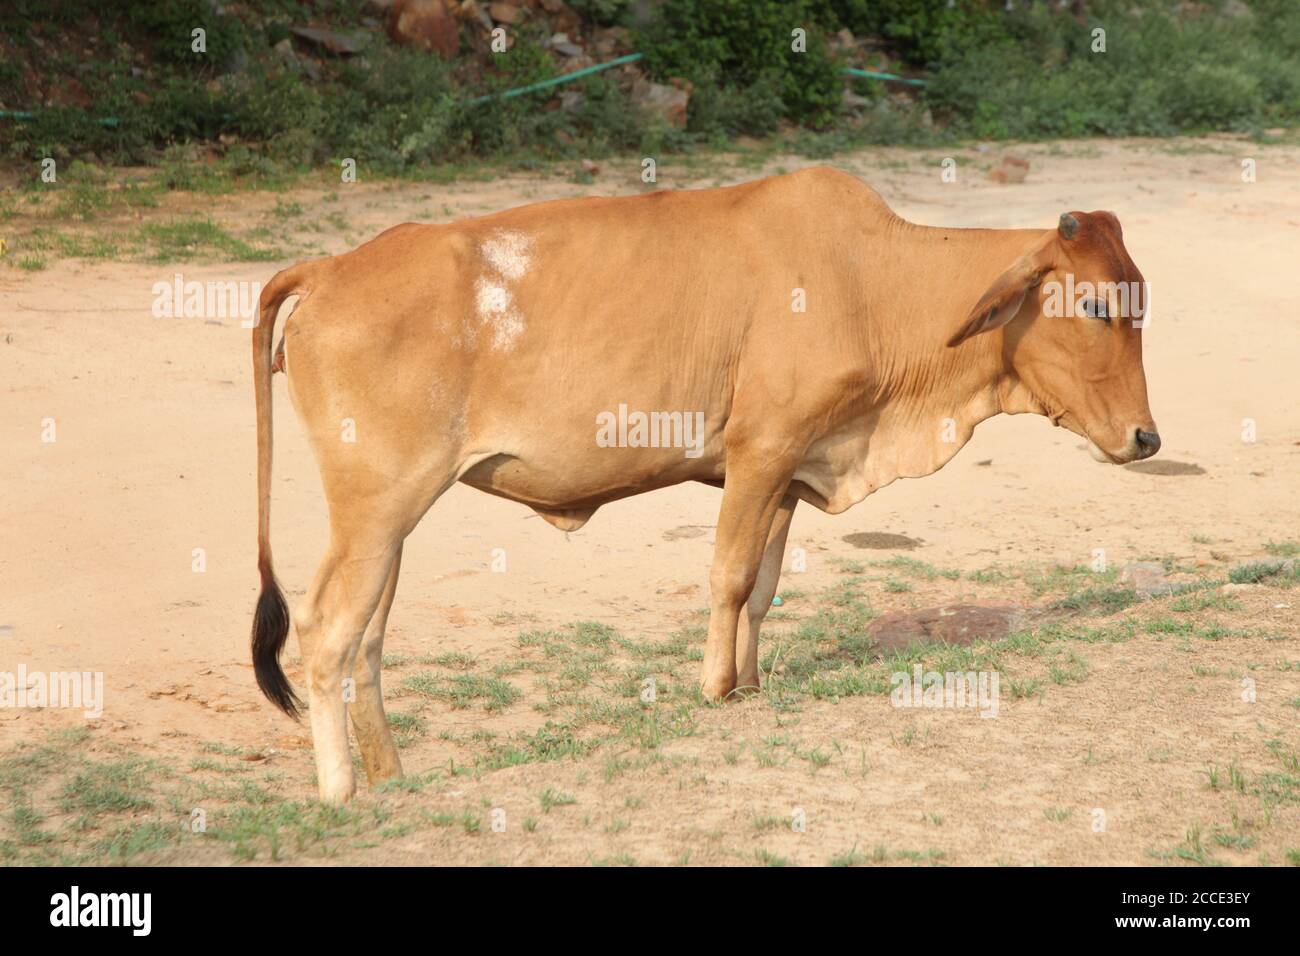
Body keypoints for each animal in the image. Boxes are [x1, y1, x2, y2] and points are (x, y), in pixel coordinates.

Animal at [249, 167, 1159, 804]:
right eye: (1097, 307)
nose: (1147, 437)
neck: (873, 284)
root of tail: (329, 268)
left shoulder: (789, 472)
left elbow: (760, 587)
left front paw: (750, 683)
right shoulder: (760, 450)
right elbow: (727, 576)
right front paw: (717, 688)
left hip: (389, 521)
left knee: (366, 640)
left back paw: (390, 775)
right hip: (375, 507)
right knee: (326, 631)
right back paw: (339, 791)